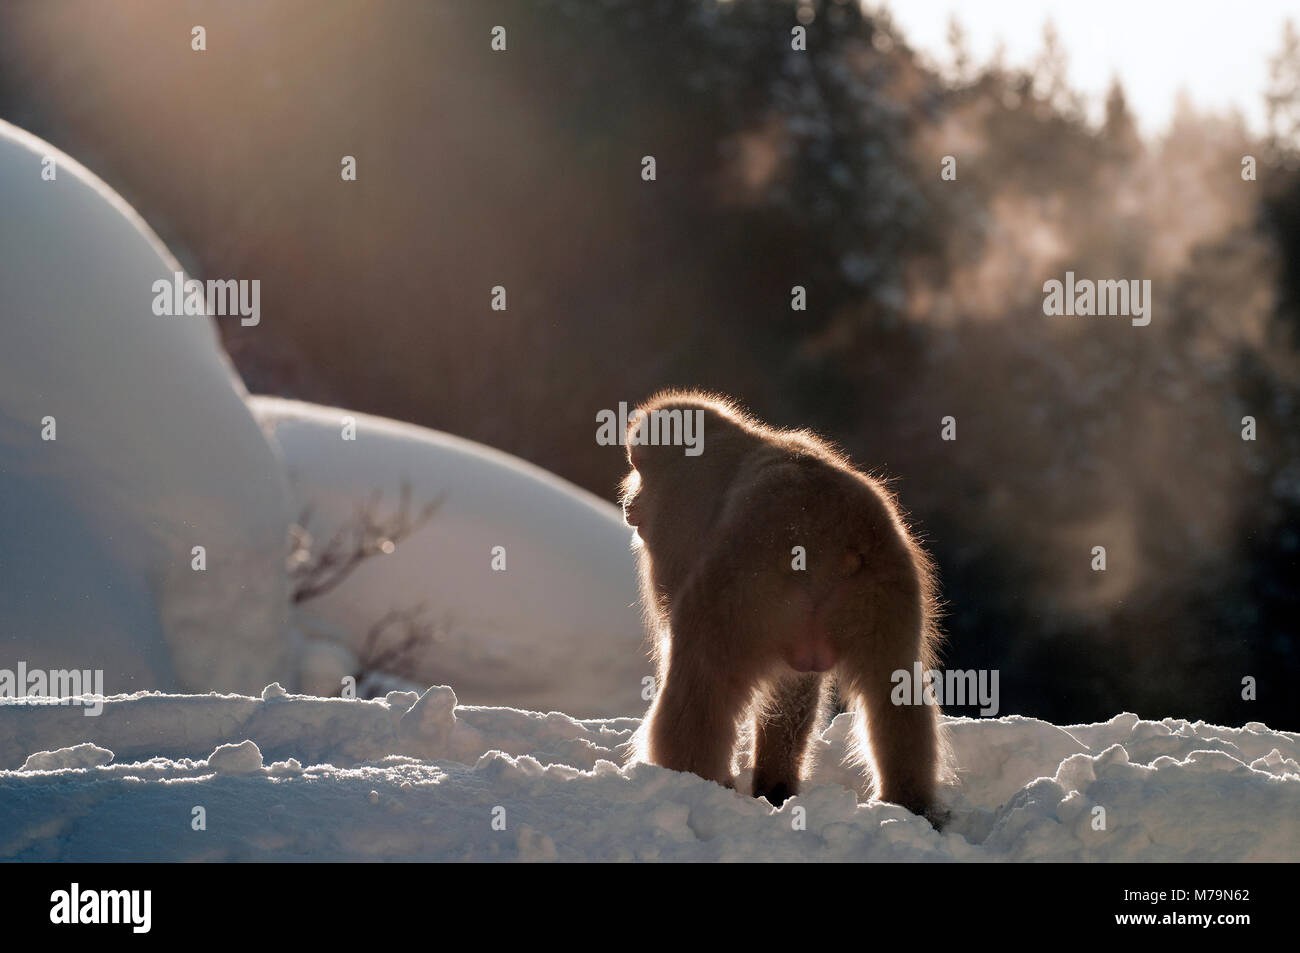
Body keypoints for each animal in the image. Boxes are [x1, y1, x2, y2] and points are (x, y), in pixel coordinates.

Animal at [619, 390, 947, 823]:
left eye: (638, 467)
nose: (629, 500)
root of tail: (832, 534)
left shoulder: (678, 516)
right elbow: (797, 687)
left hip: (743, 591)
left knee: (702, 677)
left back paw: (689, 779)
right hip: (885, 590)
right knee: (891, 691)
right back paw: (905, 803)